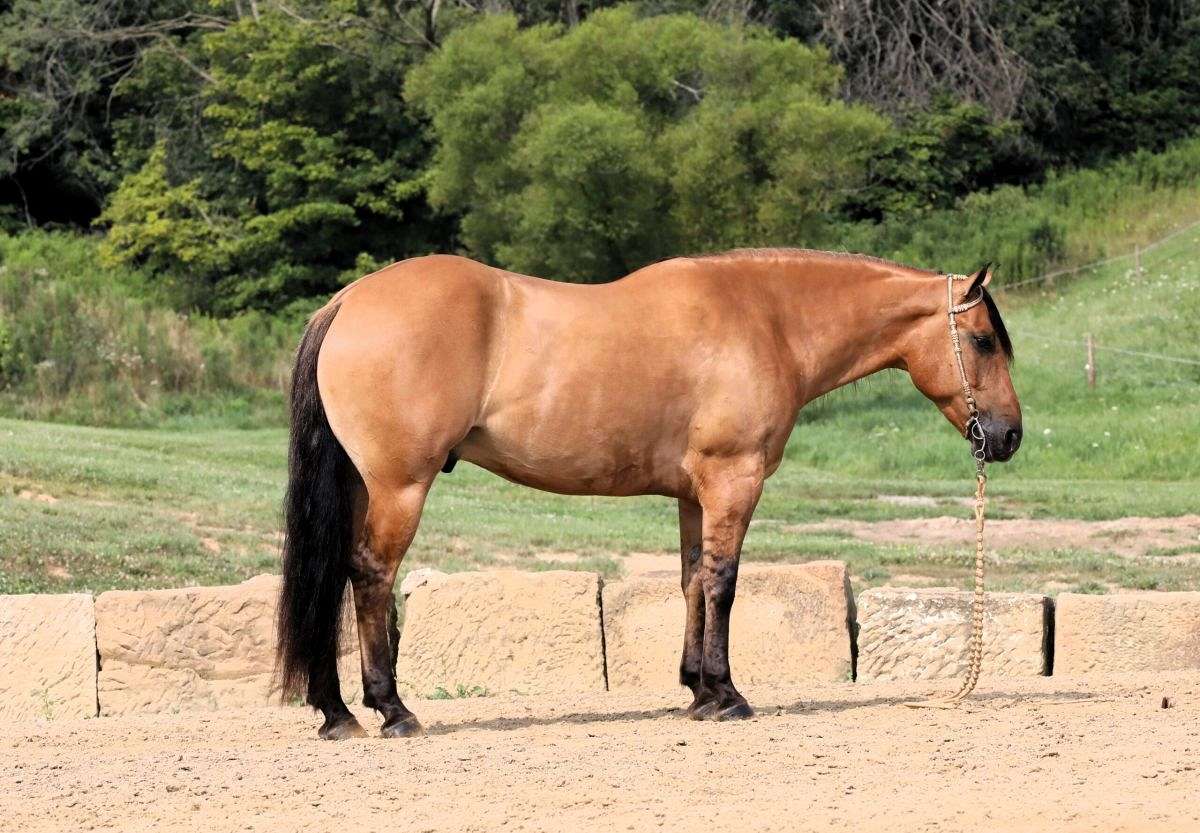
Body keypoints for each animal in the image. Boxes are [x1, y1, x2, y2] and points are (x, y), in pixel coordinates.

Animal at [275, 249, 1021, 739]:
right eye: (984, 339)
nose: (1008, 435)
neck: (768, 319)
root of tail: (349, 301)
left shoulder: (695, 493)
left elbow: (692, 580)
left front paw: (697, 691)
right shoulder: (733, 479)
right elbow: (723, 581)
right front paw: (728, 693)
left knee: (336, 578)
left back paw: (336, 711)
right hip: (399, 485)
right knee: (370, 575)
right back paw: (392, 710)